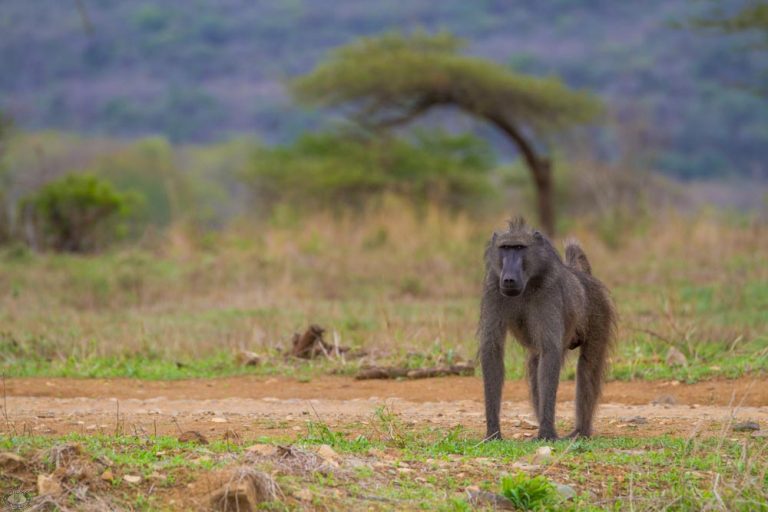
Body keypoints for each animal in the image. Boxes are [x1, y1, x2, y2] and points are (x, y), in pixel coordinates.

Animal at [478, 217, 616, 441]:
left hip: (599, 311)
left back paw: (581, 431)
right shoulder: (493, 290)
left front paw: (546, 433)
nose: (508, 279)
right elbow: (492, 350)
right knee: (535, 365)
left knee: (588, 366)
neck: (527, 284)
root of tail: (583, 277)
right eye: (505, 248)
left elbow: (550, 351)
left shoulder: (548, 293)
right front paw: (493, 432)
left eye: (519, 248)